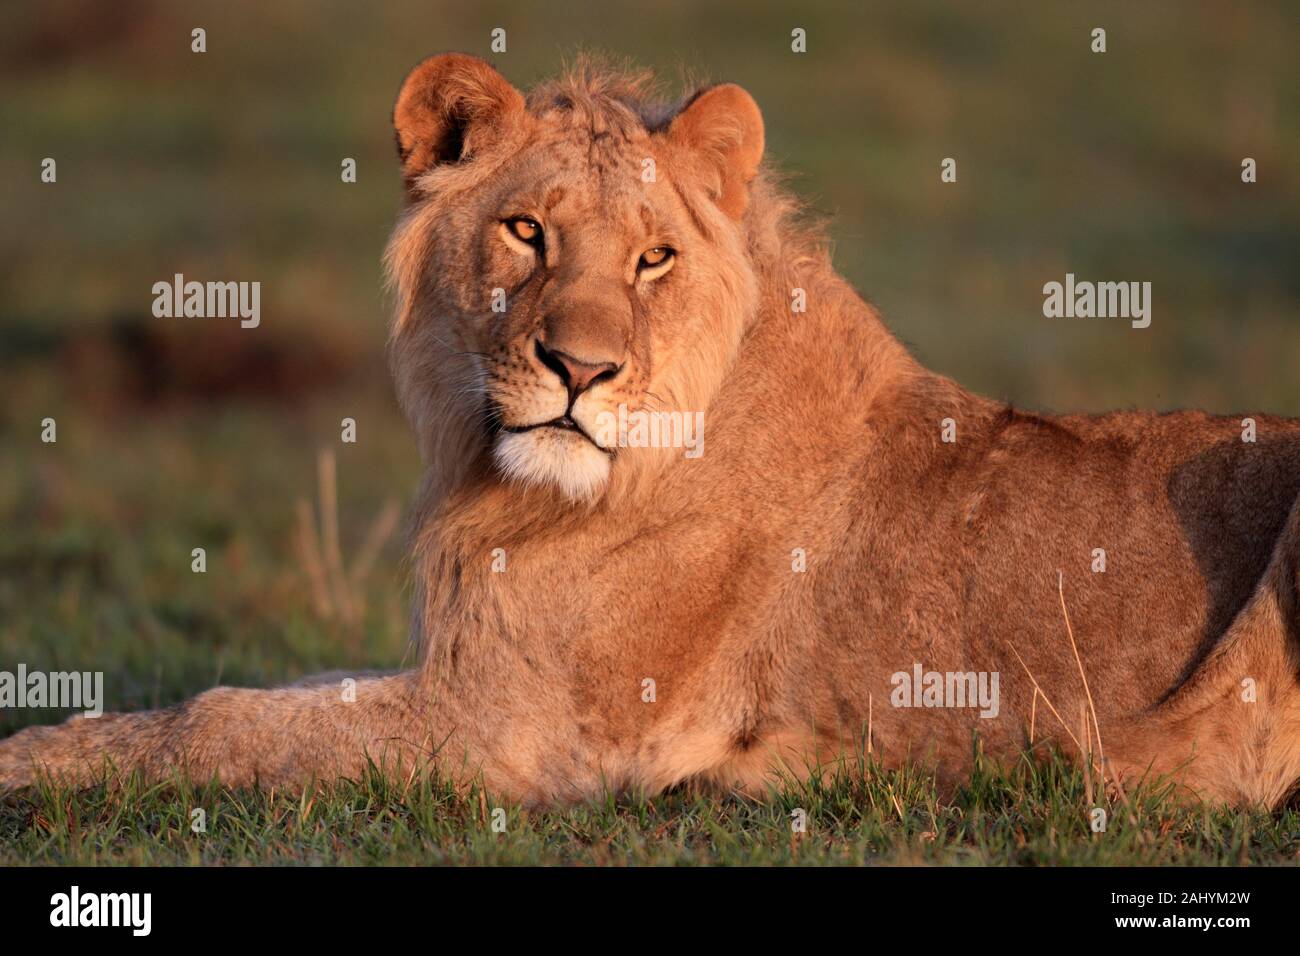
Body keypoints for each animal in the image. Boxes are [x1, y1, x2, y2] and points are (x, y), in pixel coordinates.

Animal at [4, 53, 1300, 808]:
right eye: (525, 231)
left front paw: (30, 762)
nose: (579, 370)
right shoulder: (460, 667)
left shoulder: (516, 731)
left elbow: (219, 721)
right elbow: (254, 693)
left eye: (652, 258)